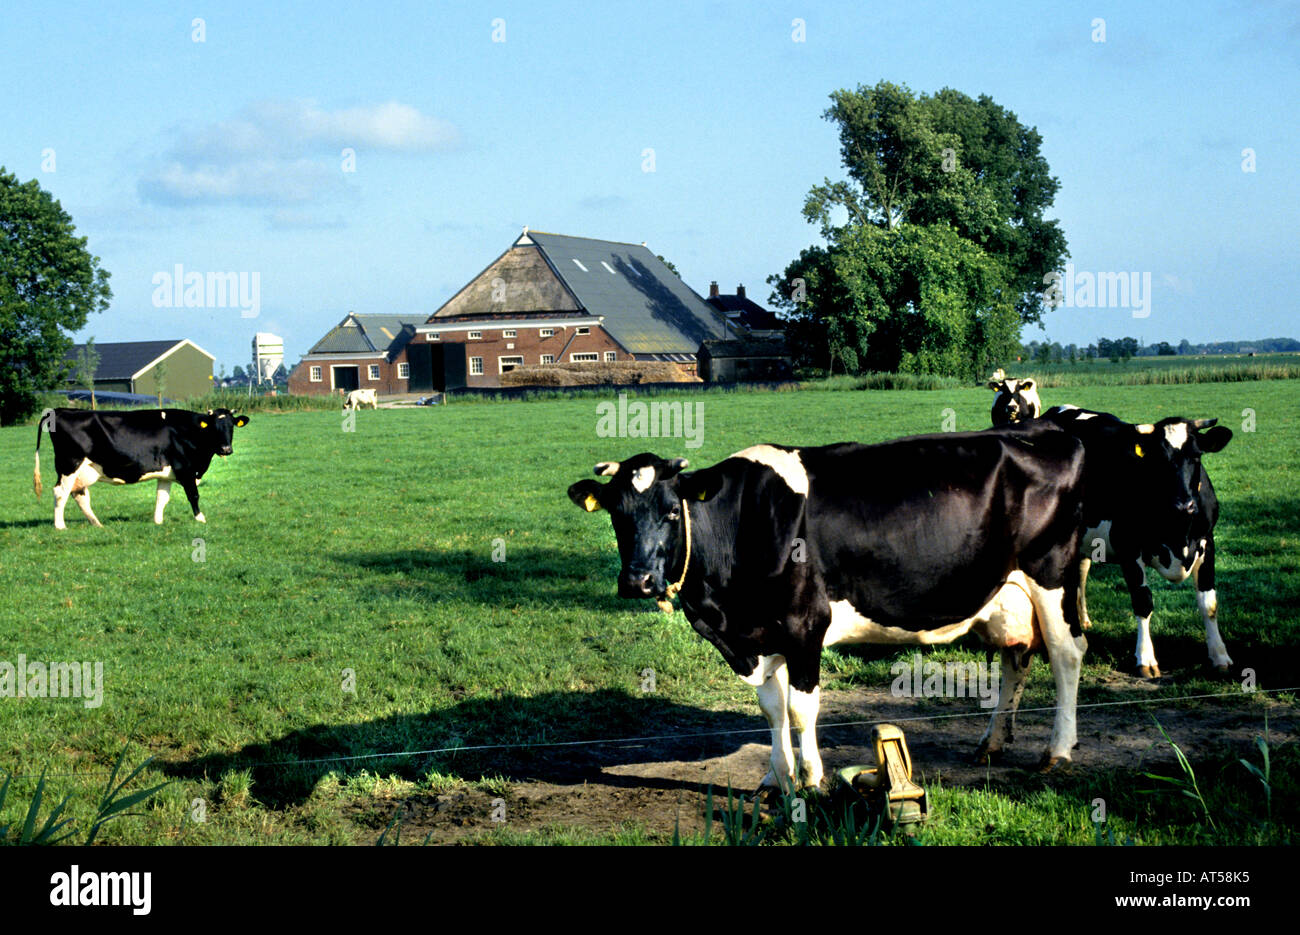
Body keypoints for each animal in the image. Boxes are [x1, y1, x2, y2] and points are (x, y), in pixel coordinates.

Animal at [34, 408, 249, 528]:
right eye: (214, 426)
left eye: (231, 426)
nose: (226, 449)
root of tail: (61, 410)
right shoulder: (186, 469)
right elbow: (193, 495)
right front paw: (201, 519)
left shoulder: (166, 473)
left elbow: (162, 498)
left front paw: (158, 522)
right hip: (69, 464)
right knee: (60, 493)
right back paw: (60, 526)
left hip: (83, 471)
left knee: (79, 495)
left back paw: (97, 524)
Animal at [568, 427, 1088, 792]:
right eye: (617, 515)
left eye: (673, 511)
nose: (638, 580)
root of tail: (1049, 434)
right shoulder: (757, 638)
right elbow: (772, 708)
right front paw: (777, 778)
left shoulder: (804, 626)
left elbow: (801, 709)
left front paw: (813, 777)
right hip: (1008, 596)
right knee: (1016, 657)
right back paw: (991, 744)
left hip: (1051, 575)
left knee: (1066, 654)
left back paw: (1057, 751)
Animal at [1038, 405, 1233, 677]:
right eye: (1159, 459)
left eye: (1196, 456)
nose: (1183, 504)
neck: (1178, 532)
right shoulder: (1128, 548)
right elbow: (1143, 602)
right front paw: (1146, 659)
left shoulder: (1207, 542)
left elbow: (1209, 604)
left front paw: (1219, 656)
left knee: (1079, 575)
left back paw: (1082, 621)